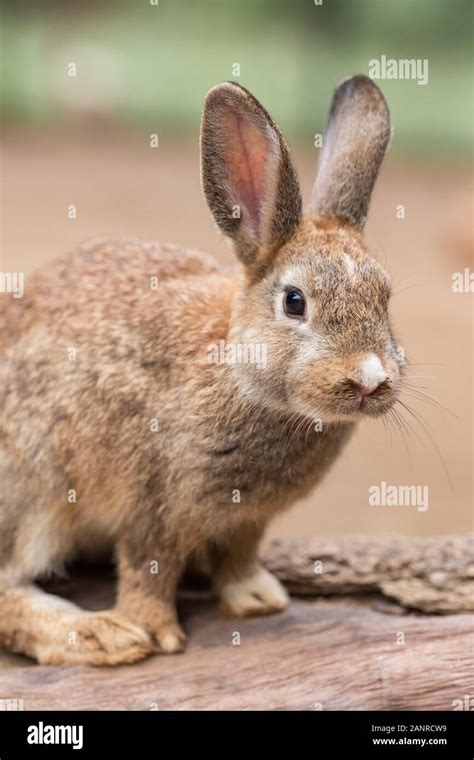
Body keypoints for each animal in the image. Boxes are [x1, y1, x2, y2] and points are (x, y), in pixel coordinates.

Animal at [0, 74, 401, 665]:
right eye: (295, 302)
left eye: (385, 299)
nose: (370, 381)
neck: (237, 371)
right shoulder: (153, 504)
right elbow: (148, 568)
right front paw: (154, 633)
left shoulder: (249, 519)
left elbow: (239, 555)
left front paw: (256, 600)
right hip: (31, 492)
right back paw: (102, 636)